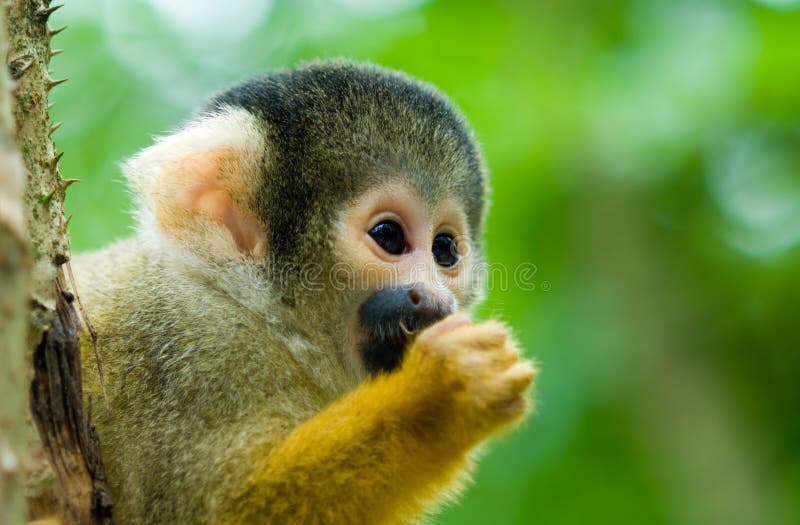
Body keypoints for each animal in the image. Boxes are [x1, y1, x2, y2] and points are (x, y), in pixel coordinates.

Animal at [68, 60, 535, 524]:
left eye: (445, 250)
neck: (262, 318)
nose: (436, 300)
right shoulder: (193, 351)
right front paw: (440, 395)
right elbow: (214, 512)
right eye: (388, 236)